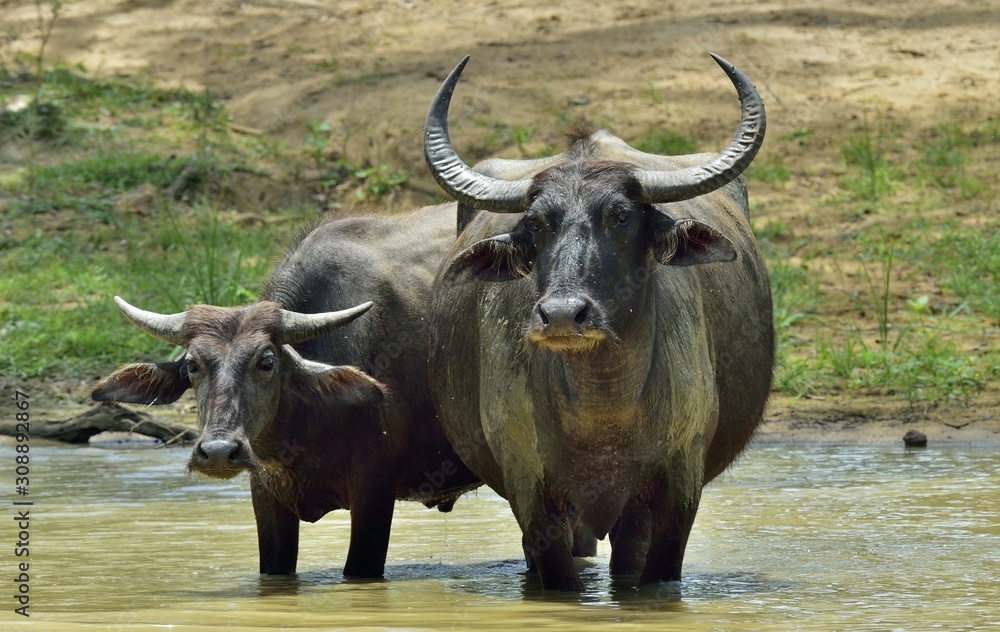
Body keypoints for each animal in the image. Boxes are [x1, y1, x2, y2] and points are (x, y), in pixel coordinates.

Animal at [92, 204, 481, 578]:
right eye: (192, 365)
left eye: (266, 362)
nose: (218, 452)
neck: (303, 427)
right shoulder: (266, 496)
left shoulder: (375, 492)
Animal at [423, 54, 773, 590]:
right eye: (537, 223)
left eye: (621, 216)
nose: (563, 315)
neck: (603, 408)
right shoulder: (530, 492)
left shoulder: (677, 490)